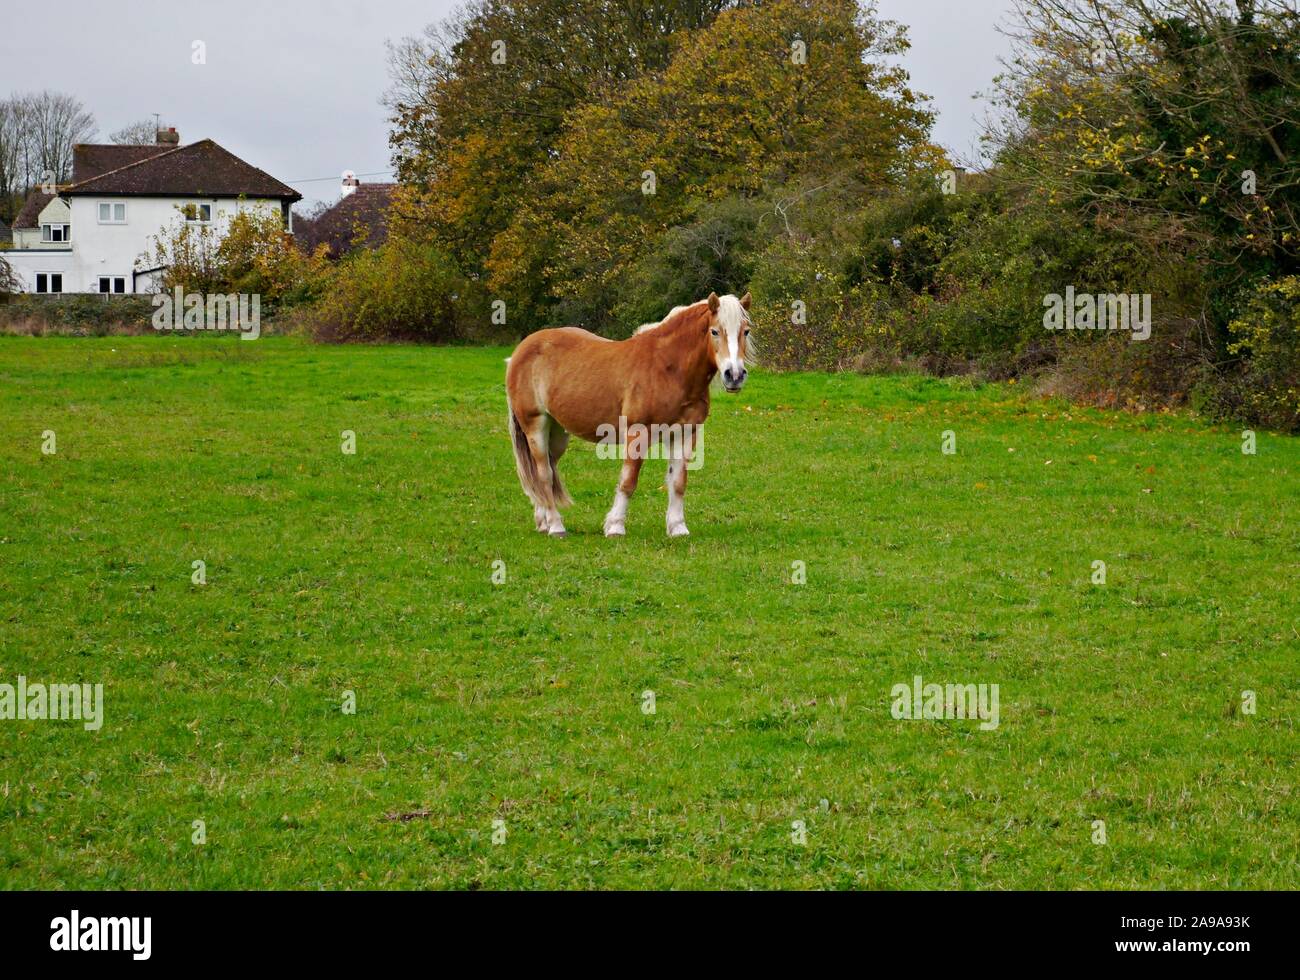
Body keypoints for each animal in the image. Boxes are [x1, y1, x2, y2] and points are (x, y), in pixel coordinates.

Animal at [505, 292, 752, 538]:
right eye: (714, 331)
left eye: (746, 331)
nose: (734, 375)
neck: (668, 368)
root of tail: (520, 351)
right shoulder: (637, 434)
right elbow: (628, 481)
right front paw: (615, 526)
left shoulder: (684, 434)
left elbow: (678, 482)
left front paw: (678, 527)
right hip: (536, 425)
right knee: (544, 474)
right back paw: (556, 526)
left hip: (557, 432)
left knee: (546, 469)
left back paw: (543, 521)